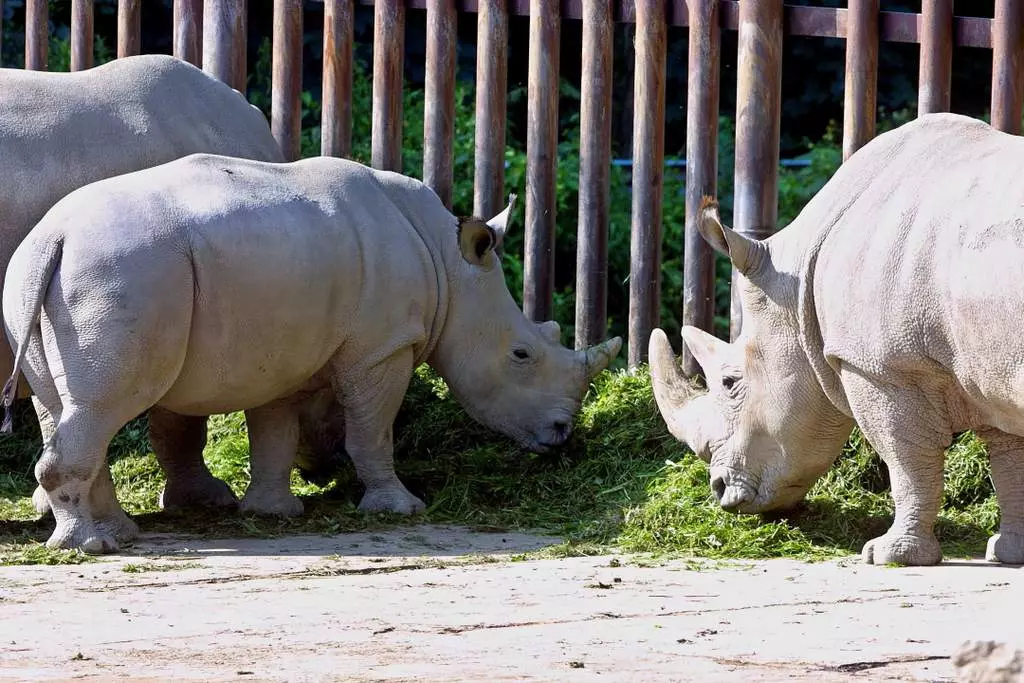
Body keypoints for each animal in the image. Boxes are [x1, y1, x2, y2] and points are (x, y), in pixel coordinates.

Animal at [4, 152, 618, 552]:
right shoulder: (381, 349)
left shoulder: (283, 351)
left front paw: (273, 512)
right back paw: (90, 547)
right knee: (100, 408)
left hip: (36, 275)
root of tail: (56, 237)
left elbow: (274, 431)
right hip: (123, 274)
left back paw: (114, 533)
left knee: (63, 408)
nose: (562, 434)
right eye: (521, 355)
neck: (450, 267)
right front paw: (401, 508)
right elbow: (372, 430)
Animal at [651, 114, 1024, 569]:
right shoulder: (987, 368)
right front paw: (1009, 553)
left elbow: (907, 459)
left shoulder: (881, 368)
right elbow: (1010, 462)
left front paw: (889, 555)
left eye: (730, 382)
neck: (795, 285)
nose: (718, 489)